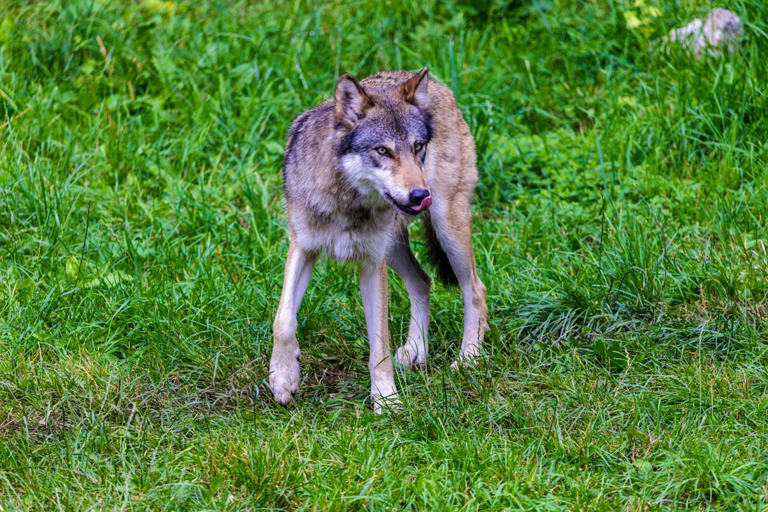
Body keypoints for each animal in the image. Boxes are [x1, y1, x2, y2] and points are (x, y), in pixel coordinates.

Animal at [270, 67, 488, 412]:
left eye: (418, 147)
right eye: (383, 150)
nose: (420, 195)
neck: (346, 201)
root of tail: (437, 86)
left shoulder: (372, 265)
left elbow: (379, 345)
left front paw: (385, 399)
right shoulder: (302, 246)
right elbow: (283, 320)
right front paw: (283, 378)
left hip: (446, 228)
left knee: (474, 289)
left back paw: (468, 359)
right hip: (395, 246)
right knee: (423, 280)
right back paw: (416, 351)